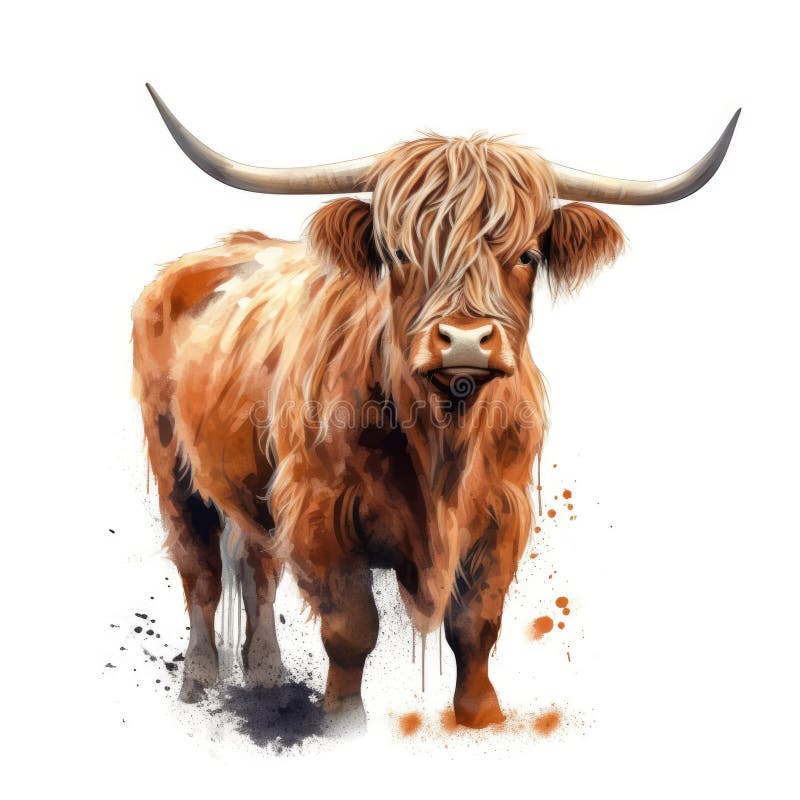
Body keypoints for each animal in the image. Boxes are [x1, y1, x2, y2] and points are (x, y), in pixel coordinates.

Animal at [133, 85, 738, 728]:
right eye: (399, 252)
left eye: (527, 255)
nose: (466, 340)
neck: (441, 441)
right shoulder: (320, 508)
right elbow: (351, 627)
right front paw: (343, 722)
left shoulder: (502, 511)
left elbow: (475, 624)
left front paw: (481, 716)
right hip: (172, 463)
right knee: (201, 570)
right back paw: (199, 680)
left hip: (249, 482)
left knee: (256, 566)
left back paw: (268, 676)